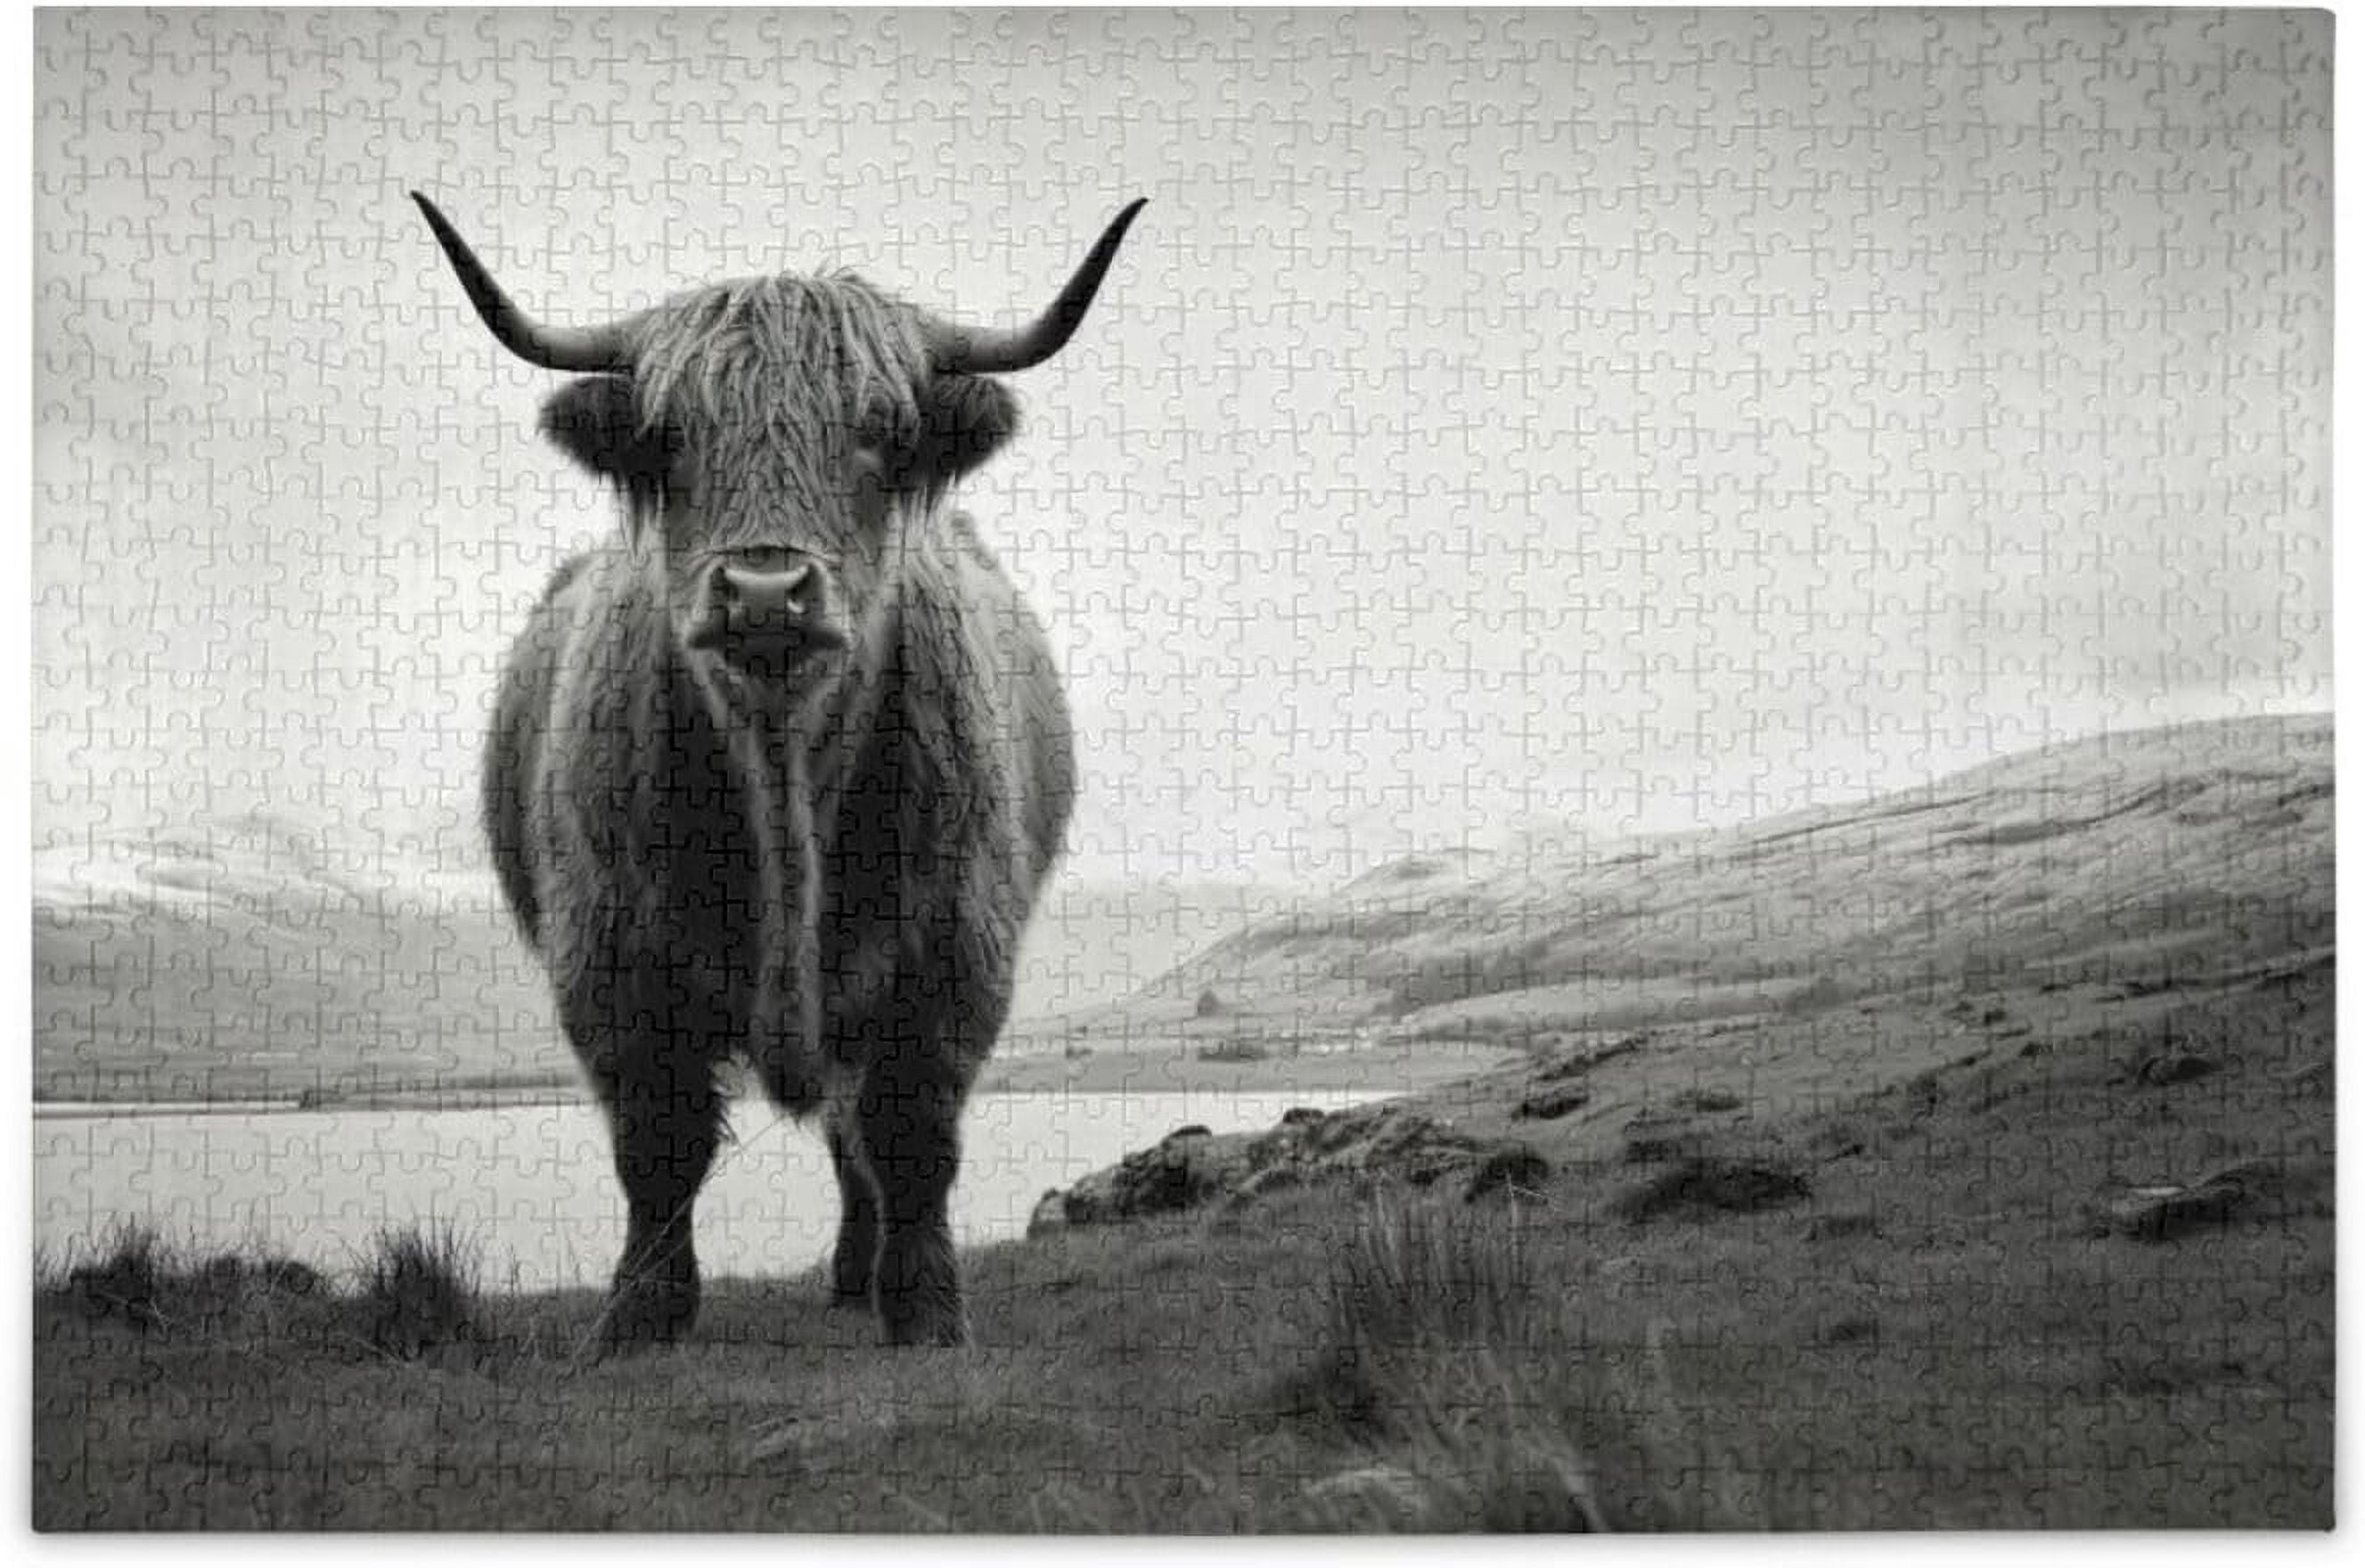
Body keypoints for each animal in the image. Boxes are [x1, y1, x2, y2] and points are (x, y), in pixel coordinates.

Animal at [414, 192, 1144, 1347]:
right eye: (669, 438)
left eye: (879, 432)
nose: (764, 593)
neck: (783, 761)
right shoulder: (611, 960)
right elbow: (657, 1147)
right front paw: (639, 1317)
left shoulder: (950, 951)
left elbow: (911, 1135)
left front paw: (926, 1312)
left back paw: (859, 1272)